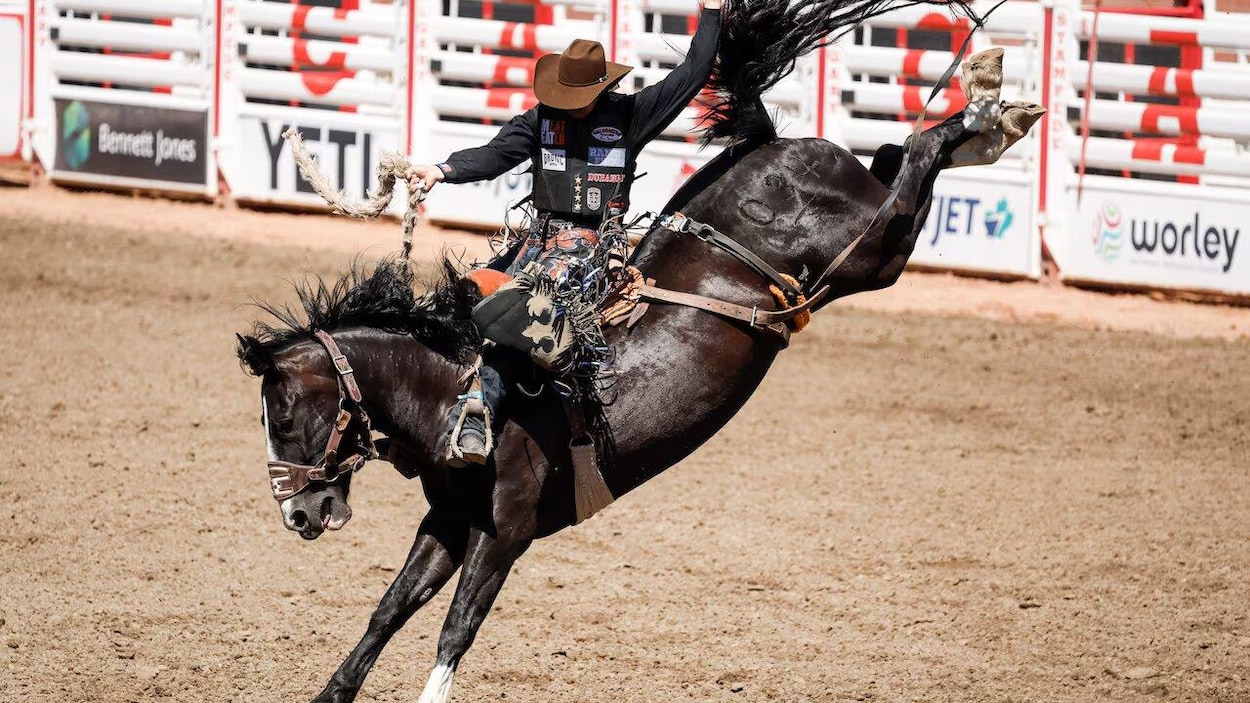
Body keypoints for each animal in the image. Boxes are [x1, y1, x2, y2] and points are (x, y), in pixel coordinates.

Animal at [235, 2, 1043, 701]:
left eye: (288, 412)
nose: (299, 514)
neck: (452, 388)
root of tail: (769, 142)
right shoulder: (448, 522)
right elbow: (387, 611)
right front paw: (331, 691)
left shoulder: (504, 532)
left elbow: (454, 631)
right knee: (897, 153)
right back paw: (995, 117)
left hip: (870, 252)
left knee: (914, 168)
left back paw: (988, 103)